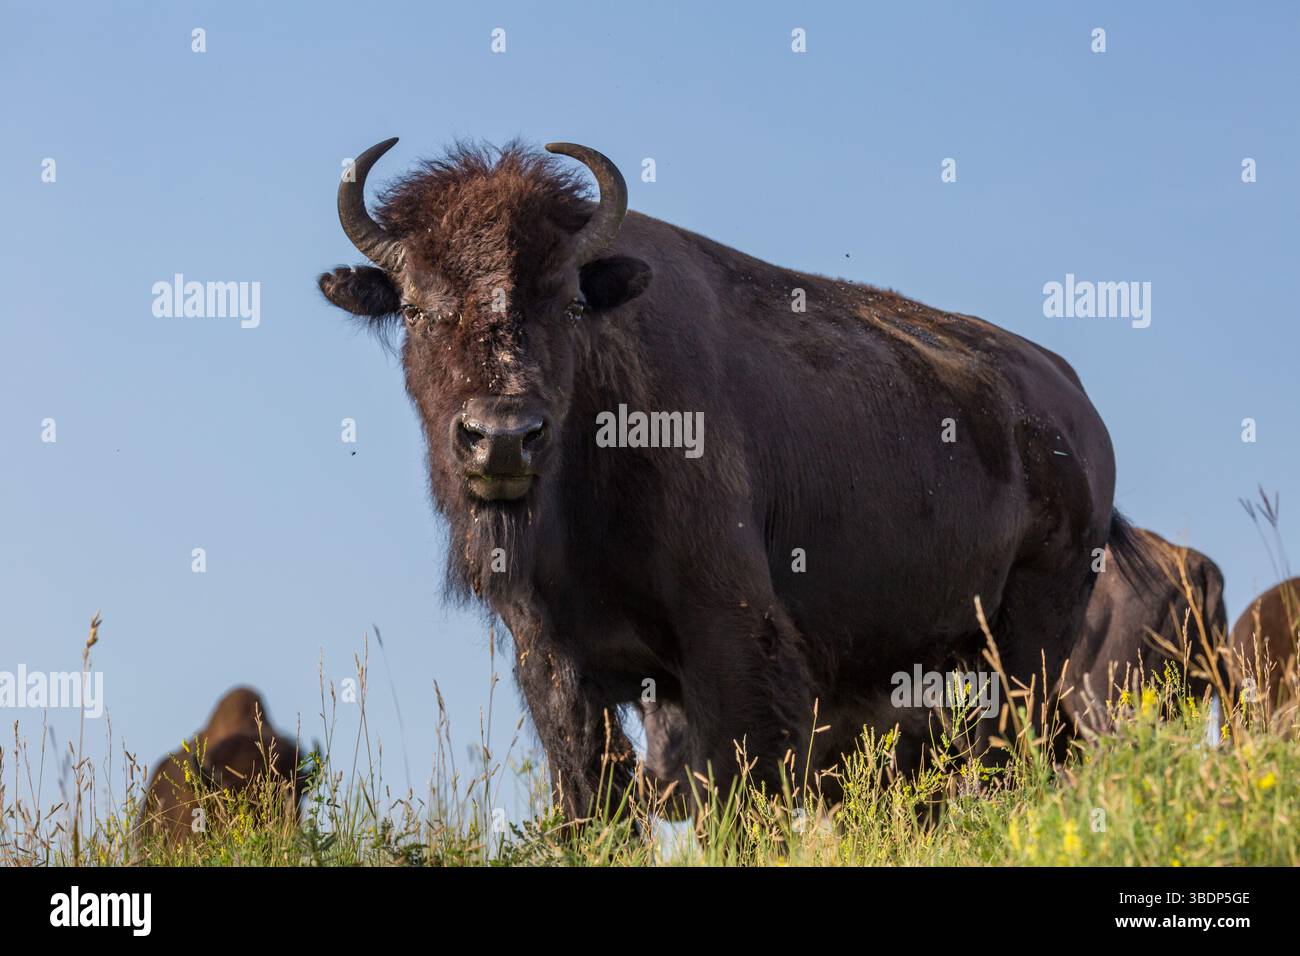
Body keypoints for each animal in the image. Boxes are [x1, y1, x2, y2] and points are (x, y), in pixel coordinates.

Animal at [318, 137, 1144, 819]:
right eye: (416, 309)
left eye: (572, 301)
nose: (502, 437)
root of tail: (1075, 413)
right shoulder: (553, 659)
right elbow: (592, 792)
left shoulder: (731, 640)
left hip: (1030, 641)